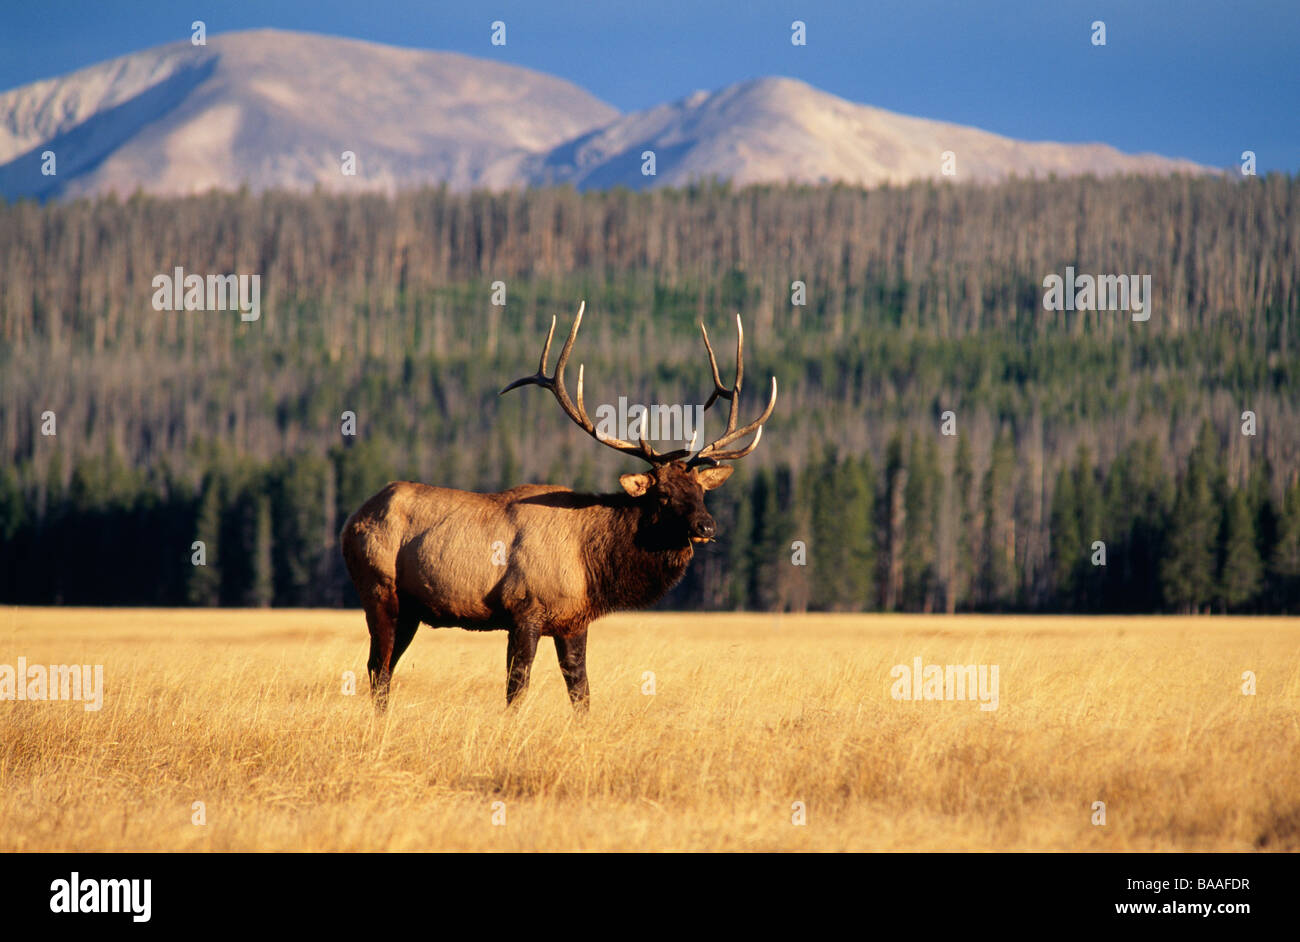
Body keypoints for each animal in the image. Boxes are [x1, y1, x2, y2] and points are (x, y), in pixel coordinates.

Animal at [340, 302, 776, 713]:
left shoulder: (573, 621)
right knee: (377, 668)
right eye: (663, 493)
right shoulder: (524, 610)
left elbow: (581, 693)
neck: (592, 564)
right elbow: (517, 689)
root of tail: (350, 521)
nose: (707, 527)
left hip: (411, 610)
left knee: (384, 668)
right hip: (379, 591)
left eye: (701, 492)